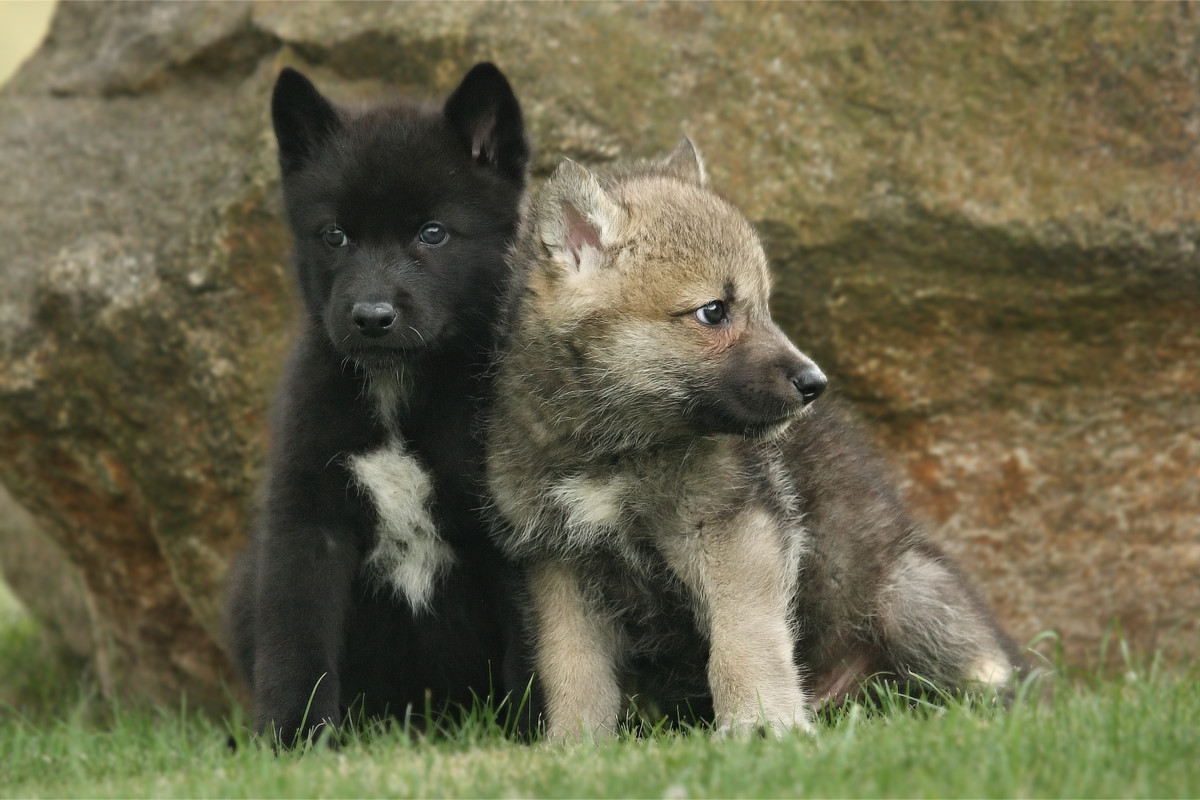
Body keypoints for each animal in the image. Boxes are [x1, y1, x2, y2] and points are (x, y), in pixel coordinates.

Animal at [223, 63, 530, 744]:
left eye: (433, 233)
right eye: (335, 235)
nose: (371, 317)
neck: (396, 391)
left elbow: (541, 642)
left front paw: (543, 731)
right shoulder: (306, 523)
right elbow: (296, 642)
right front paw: (294, 739)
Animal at [485, 140, 1021, 740]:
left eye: (764, 305)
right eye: (714, 311)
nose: (815, 383)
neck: (613, 448)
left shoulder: (735, 531)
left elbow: (744, 639)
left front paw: (761, 724)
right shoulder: (559, 563)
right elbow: (574, 669)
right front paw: (575, 743)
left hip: (910, 596)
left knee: (987, 678)